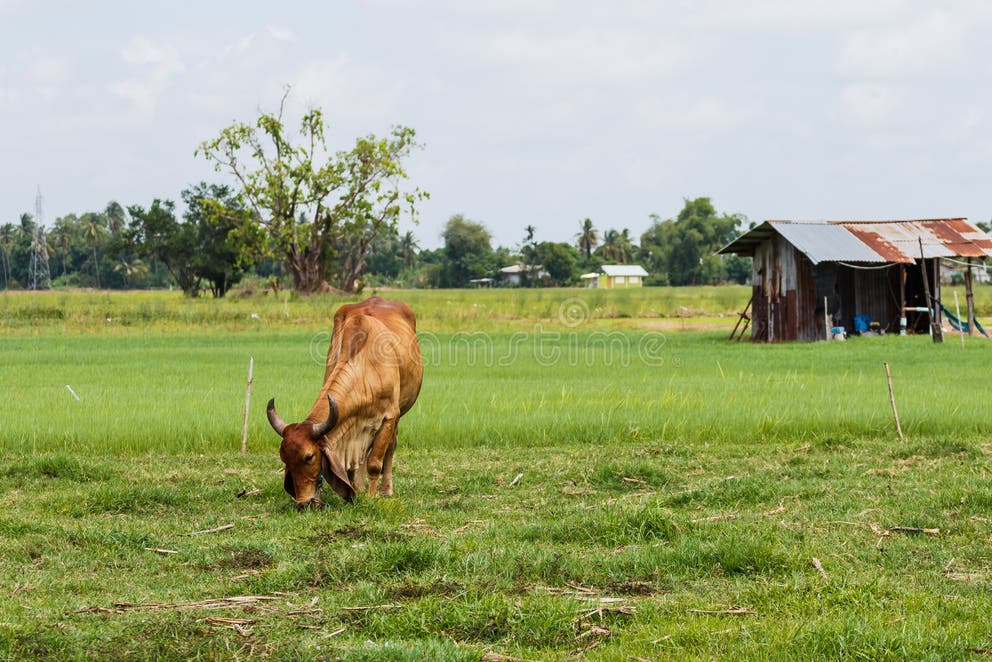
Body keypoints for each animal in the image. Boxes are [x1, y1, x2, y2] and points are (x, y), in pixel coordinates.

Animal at [266, 297, 423, 509]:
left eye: (309, 457)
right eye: (284, 458)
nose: (303, 503)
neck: (367, 366)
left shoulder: (390, 416)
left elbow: (375, 463)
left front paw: (372, 497)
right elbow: (352, 465)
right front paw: (356, 491)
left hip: (399, 414)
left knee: (390, 448)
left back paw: (386, 489)